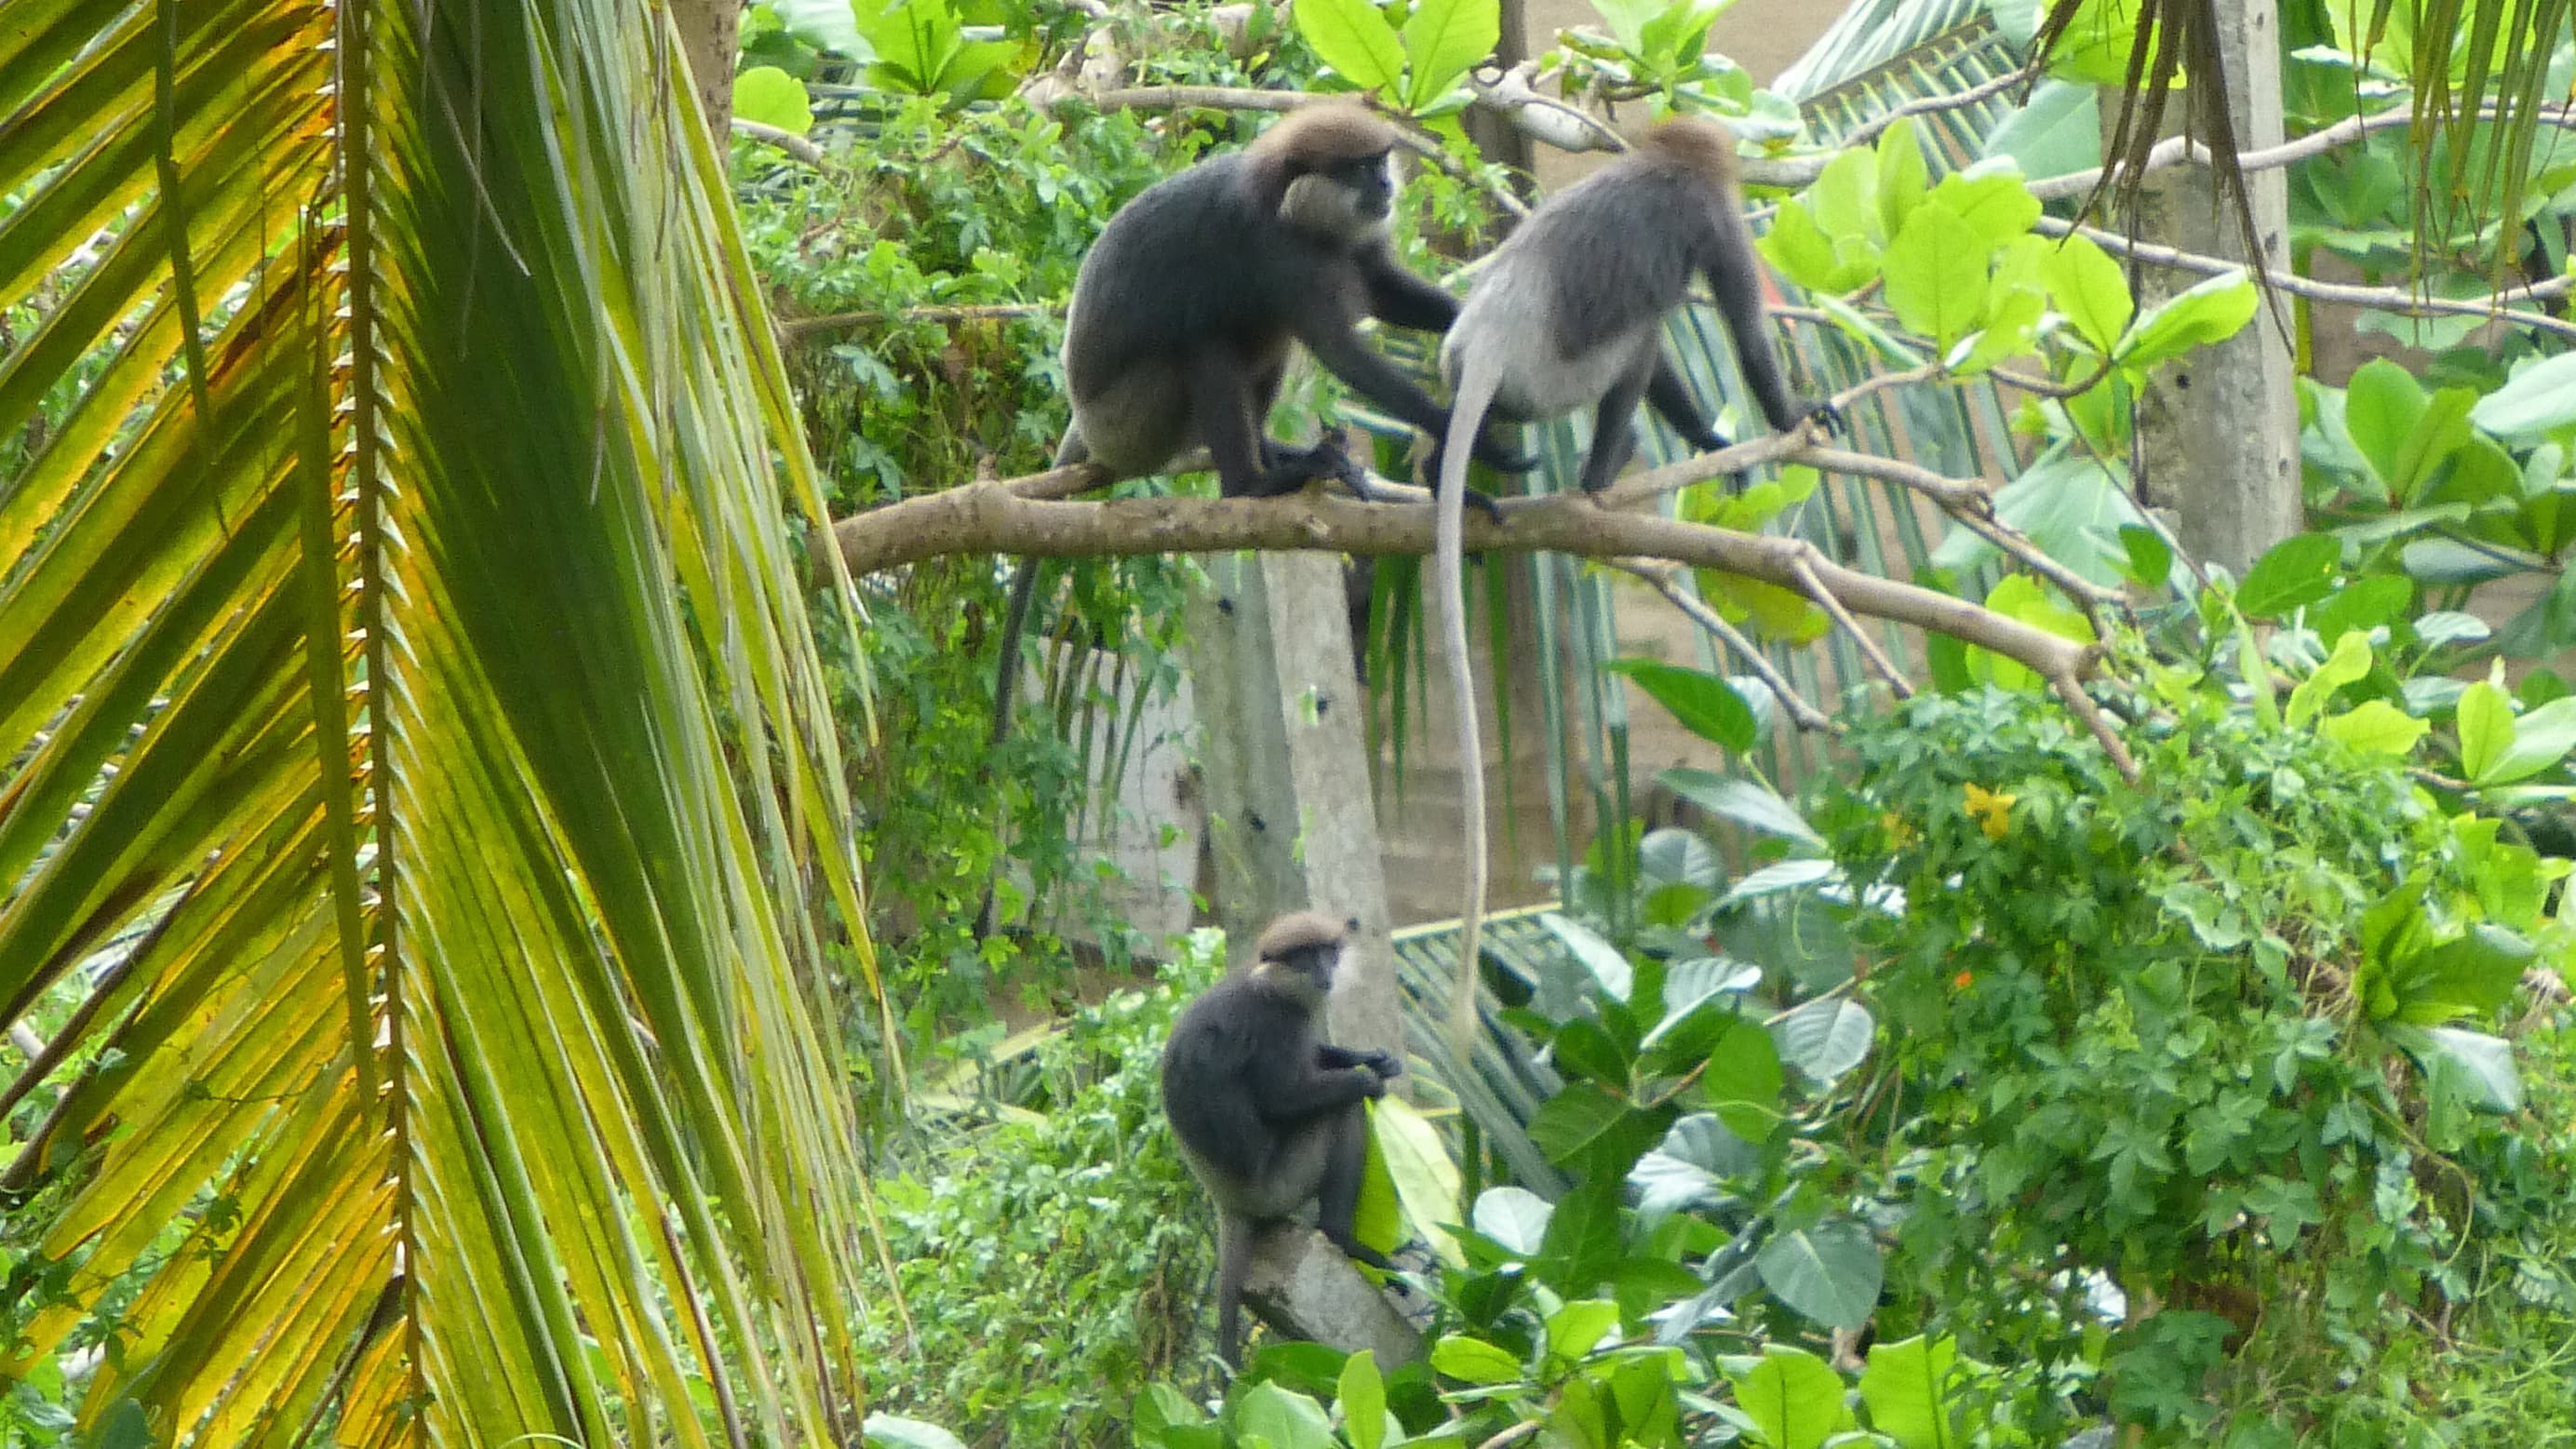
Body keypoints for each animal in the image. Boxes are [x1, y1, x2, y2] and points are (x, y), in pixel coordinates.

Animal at [1161, 909, 1403, 1367]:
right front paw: (1366, 1079)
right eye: (1306, 958)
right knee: (1340, 1113)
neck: (1267, 981)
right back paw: (1341, 1238)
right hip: (1280, 1185)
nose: (1325, 971)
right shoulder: (1277, 1022)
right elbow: (1283, 1098)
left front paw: (1373, 1059)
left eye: (1327, 953)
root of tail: (1226, 1199)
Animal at [1430, 116, 1845, 1054]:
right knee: (1644, 340)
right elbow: (1745, 333)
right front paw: (1787, 417)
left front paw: (1716, 440)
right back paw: (1598, 474)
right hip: (1558, 377)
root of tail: (1490, 337)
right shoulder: (1714, 221)